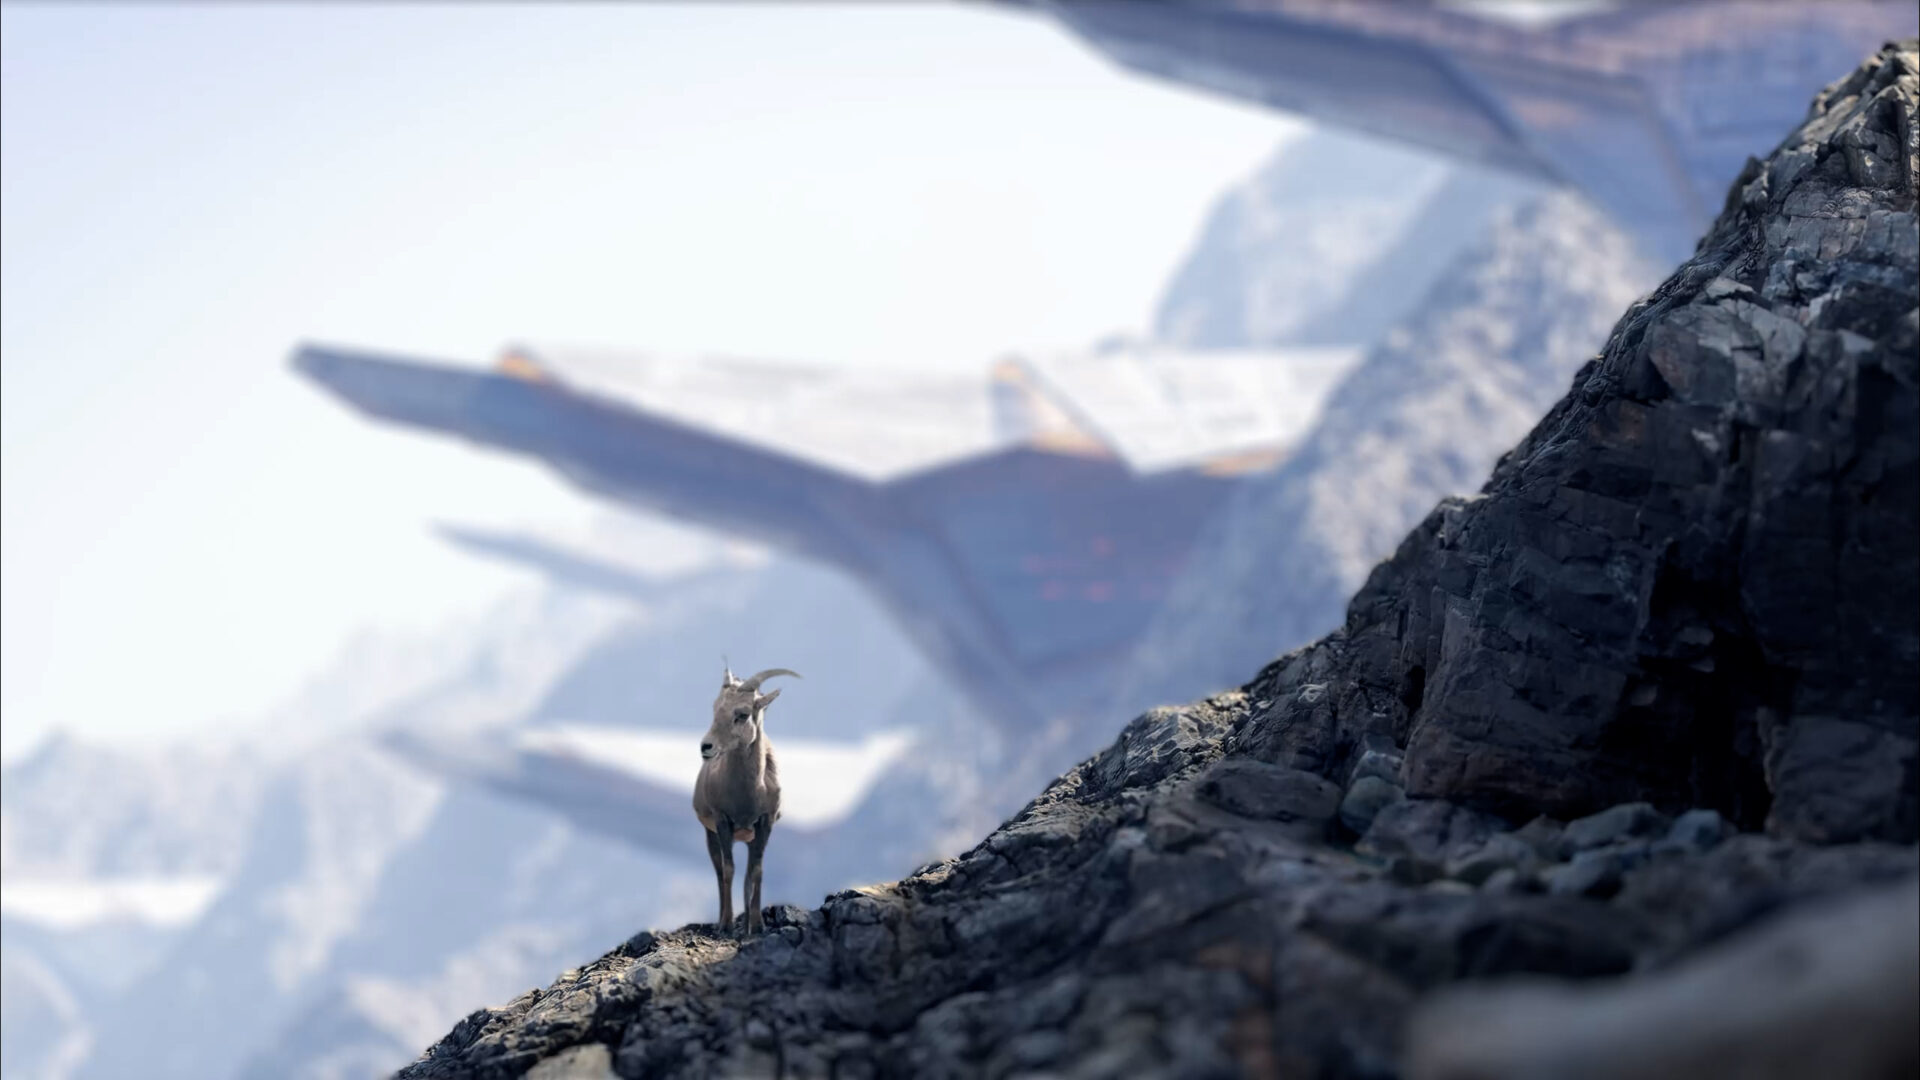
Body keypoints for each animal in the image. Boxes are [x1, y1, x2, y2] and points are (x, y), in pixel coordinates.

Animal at [693, 664, 800, 936]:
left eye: (741, 714)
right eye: (715, 707)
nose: (706, 747)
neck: (747, 793)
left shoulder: (764, 822)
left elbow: (757, 870)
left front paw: (757, 925)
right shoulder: (722, 822)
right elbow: (728, 870)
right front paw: (726, 925)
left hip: (748, 838)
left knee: (748, 873)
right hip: (711, 835)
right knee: (719, 872)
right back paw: (722, 921)